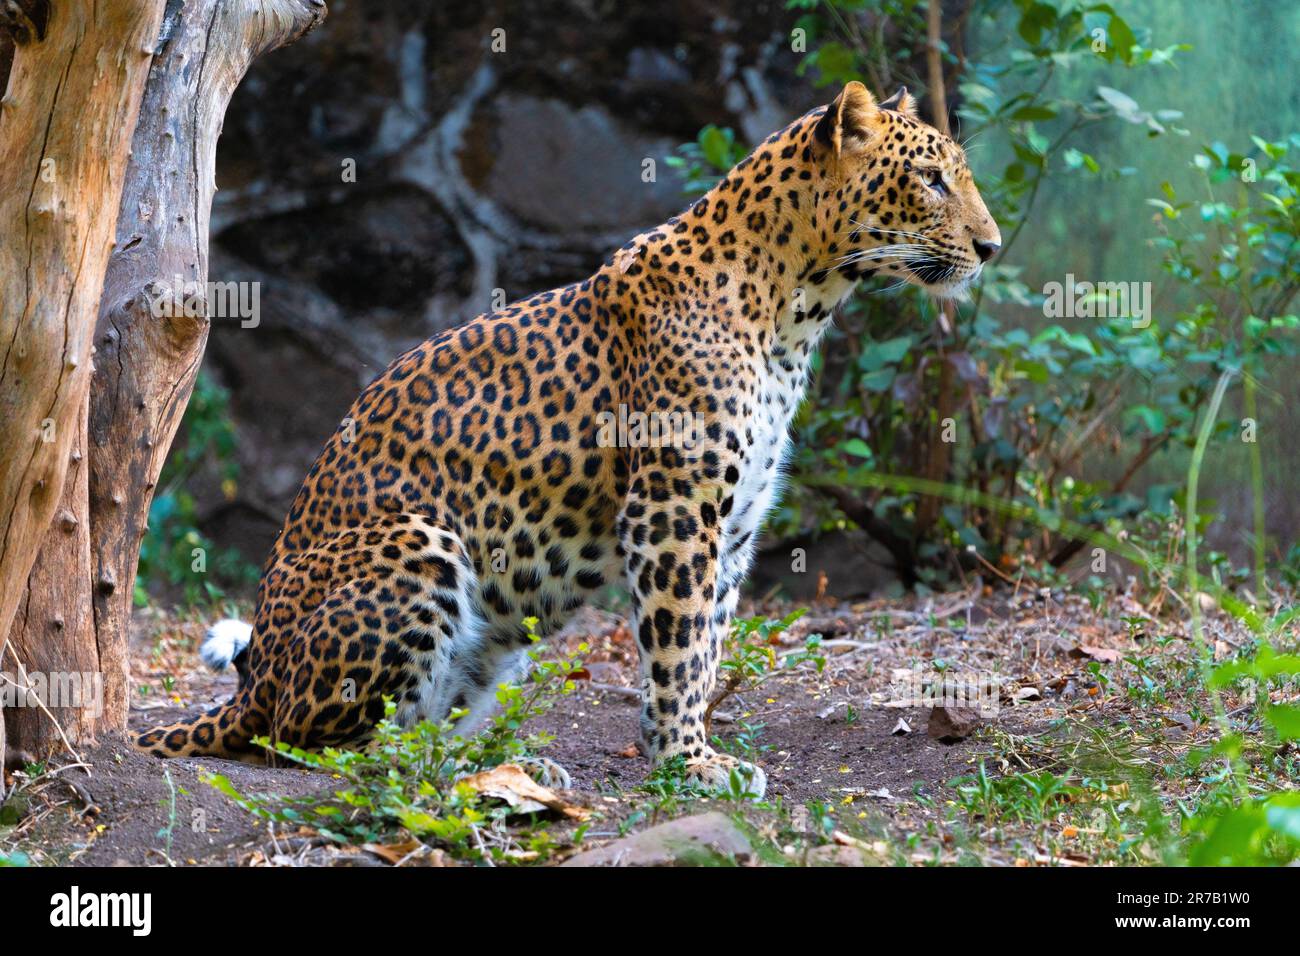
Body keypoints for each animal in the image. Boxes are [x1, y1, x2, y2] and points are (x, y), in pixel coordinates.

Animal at [136, 81, 1000, 797]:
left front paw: (683, 751)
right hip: (417, 544)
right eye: (931, 179)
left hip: (494, 622)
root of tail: (253, 683)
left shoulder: (735, 523)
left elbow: (707, 644)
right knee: (314, 743)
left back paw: (508, 765)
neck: (798, 309)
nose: (991, 247)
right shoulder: (673, 509)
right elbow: (679, 644)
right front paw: (689, 761)